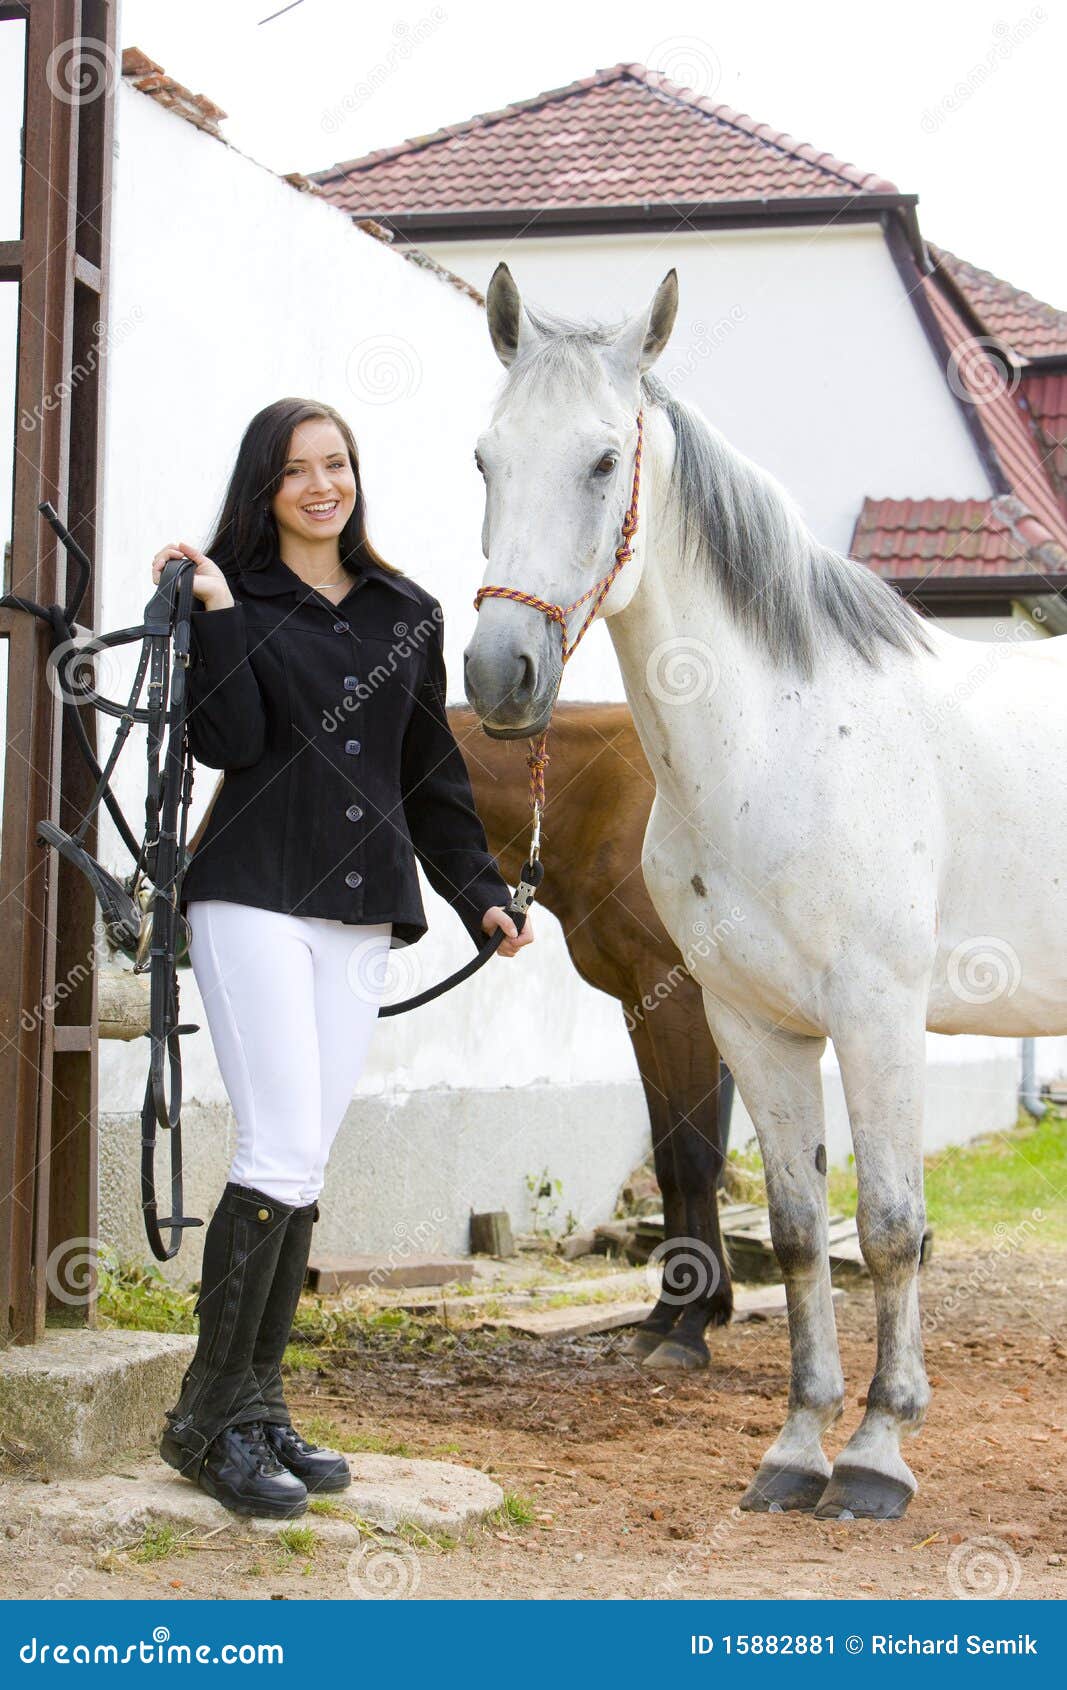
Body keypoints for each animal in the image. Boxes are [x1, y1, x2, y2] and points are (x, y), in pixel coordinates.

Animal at [450, 701, 734, 1370]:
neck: (610, 803)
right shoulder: (641, 1007)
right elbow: (669, 1162)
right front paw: (663, 1317)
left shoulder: (682, 1002)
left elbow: (697, 1158)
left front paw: (692, 1327)